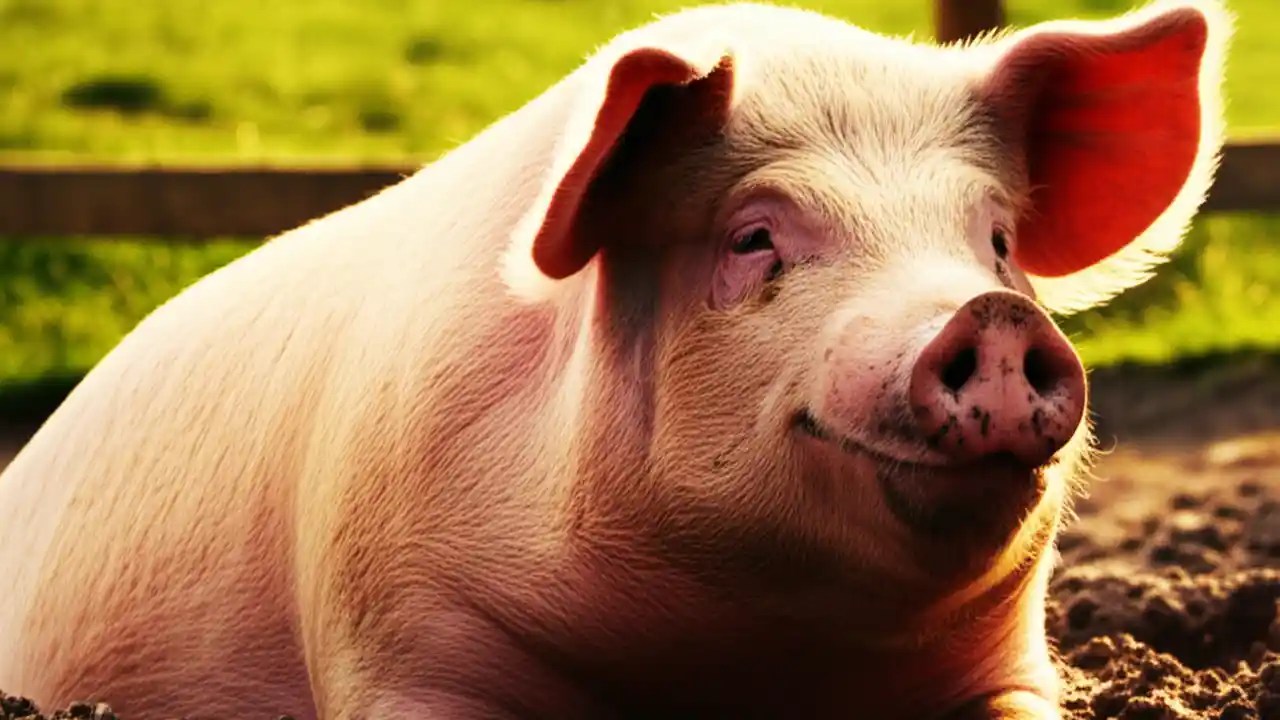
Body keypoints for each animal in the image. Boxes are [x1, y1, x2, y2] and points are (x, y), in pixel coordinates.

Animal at [0, 0, 1229, 717]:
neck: (746, 658)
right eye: (752, 238)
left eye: (998, 240)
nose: (990, 315)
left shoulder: (1005, 663)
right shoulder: (402, 629)